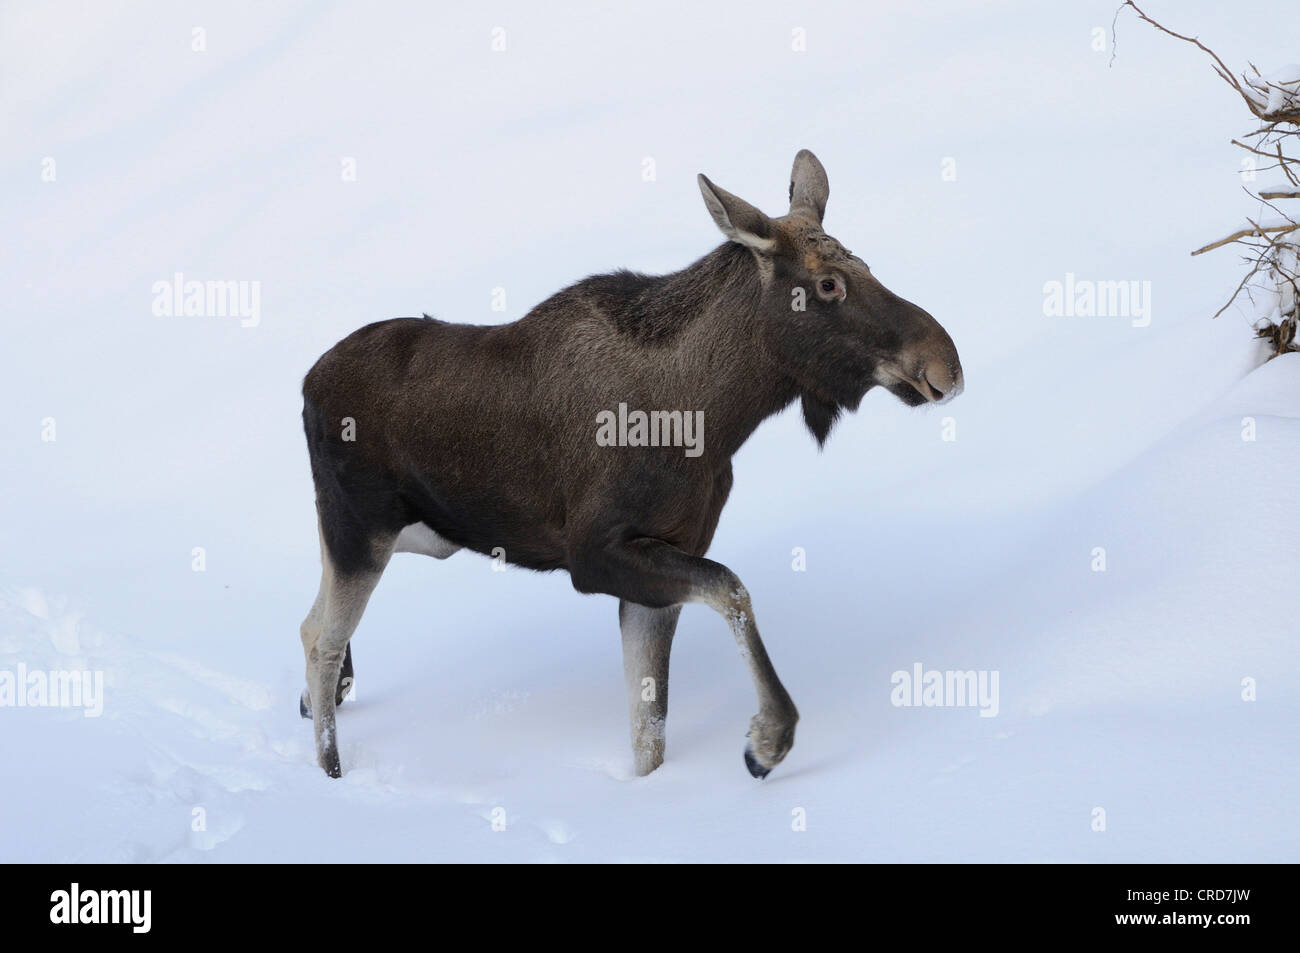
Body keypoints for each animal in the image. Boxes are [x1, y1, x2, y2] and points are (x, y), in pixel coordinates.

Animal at [297, 150, 963, 780]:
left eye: (866, 265)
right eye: (827, 284)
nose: (945, 365)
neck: (712, 418)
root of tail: (306, 384)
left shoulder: (663, 558)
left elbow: (650, 735)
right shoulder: (594, 554)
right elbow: (732, 588)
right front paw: (769, 739)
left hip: (399, 533)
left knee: (314, 625)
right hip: (361, 529)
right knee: (320, 640)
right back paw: (331, 771)